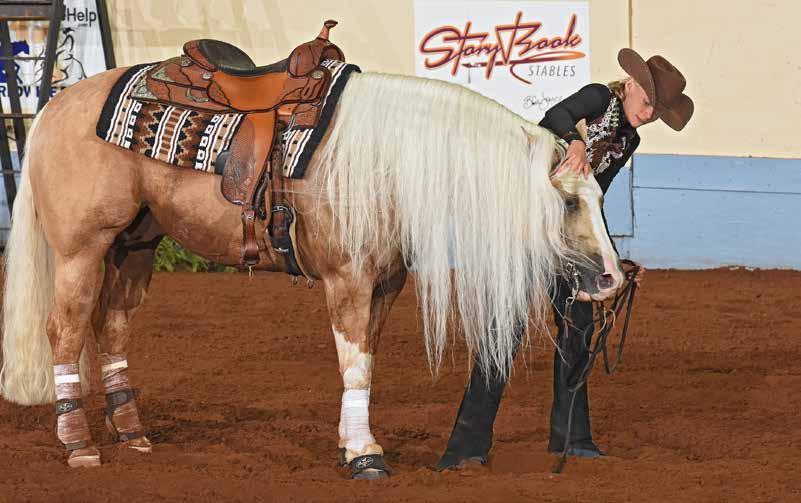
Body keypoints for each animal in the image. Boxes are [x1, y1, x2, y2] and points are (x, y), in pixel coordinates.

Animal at [0, 66, 624, 477]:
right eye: (569, 202)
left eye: (600, 196)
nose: (612, 279)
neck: (382, 160)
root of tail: (56, 105)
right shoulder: (348, 281)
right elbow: (352, 362)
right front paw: (365, 455)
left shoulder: (385, 286)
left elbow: (365, 364)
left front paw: (353, 442)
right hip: (82, 251)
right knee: (66, 331)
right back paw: (78, 444)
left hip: (136, 247)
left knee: (111, 329)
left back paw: (132, 435)